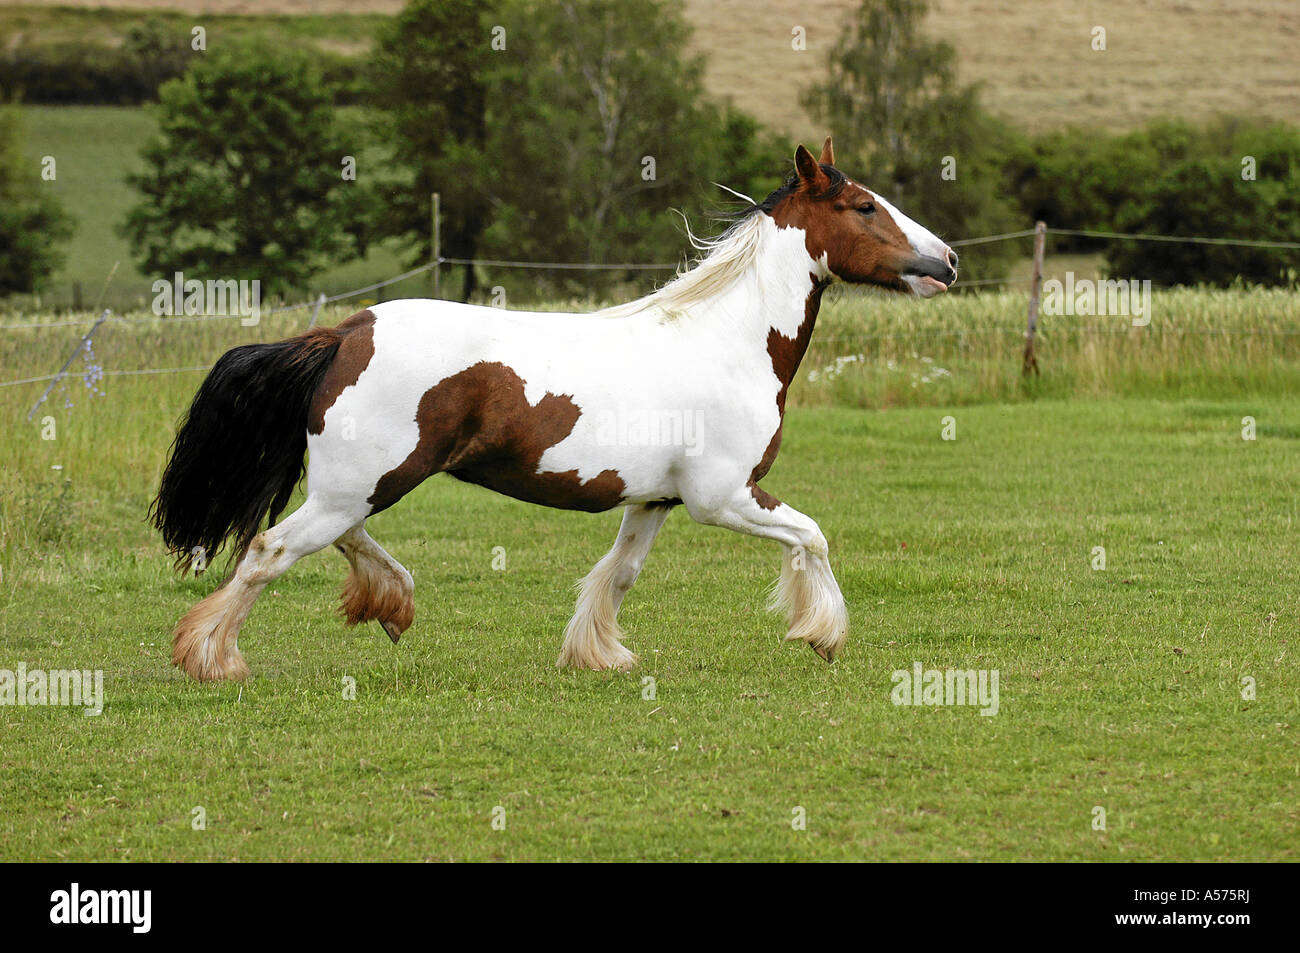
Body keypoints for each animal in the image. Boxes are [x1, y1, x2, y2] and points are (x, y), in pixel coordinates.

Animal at [150, 137, 958, 682]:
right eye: (864, 206)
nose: (947, 261)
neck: (726, 340)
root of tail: (346, 331)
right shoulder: (723, 497)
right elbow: (811, 535)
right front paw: (822, 634)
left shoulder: (655, 500)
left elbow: (617, 575)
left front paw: (598, 654)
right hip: (362, 483)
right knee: (271, 549)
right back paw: (212, 658)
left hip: (363, 484)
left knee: (339, 540)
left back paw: (392, 601)